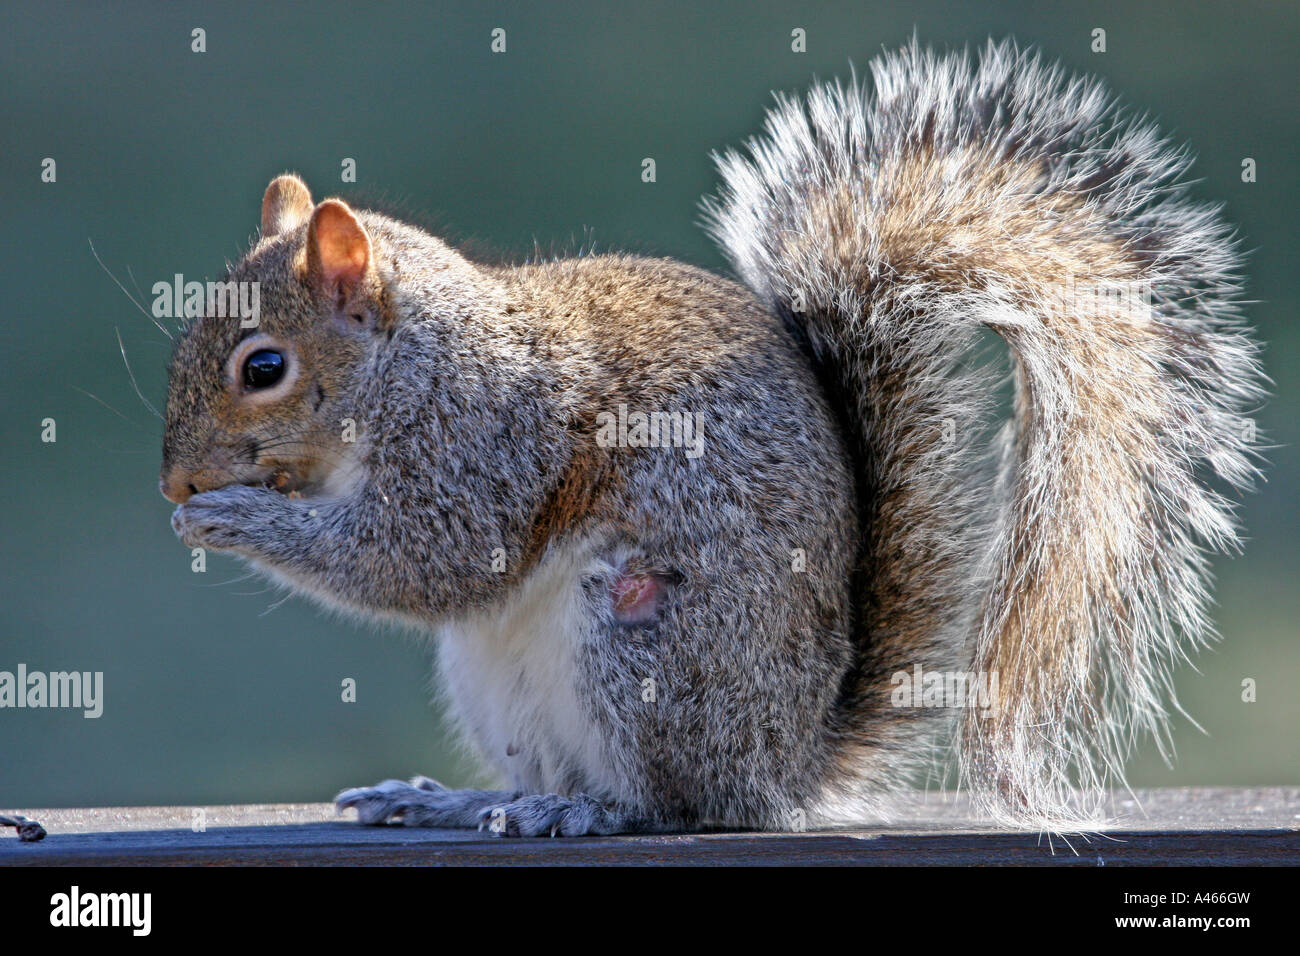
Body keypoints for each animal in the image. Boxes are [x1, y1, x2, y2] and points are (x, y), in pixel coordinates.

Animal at [161, 40, 1263, 834]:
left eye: (263, 368)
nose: (174, 484)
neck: (413, 361)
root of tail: (783, 763)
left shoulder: (484, 440)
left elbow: (427, 560)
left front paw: (237, 518)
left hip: (644, 644)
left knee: (675, 803)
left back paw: (592, 811)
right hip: (496, 689)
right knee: (549, 772)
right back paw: (461, 799)